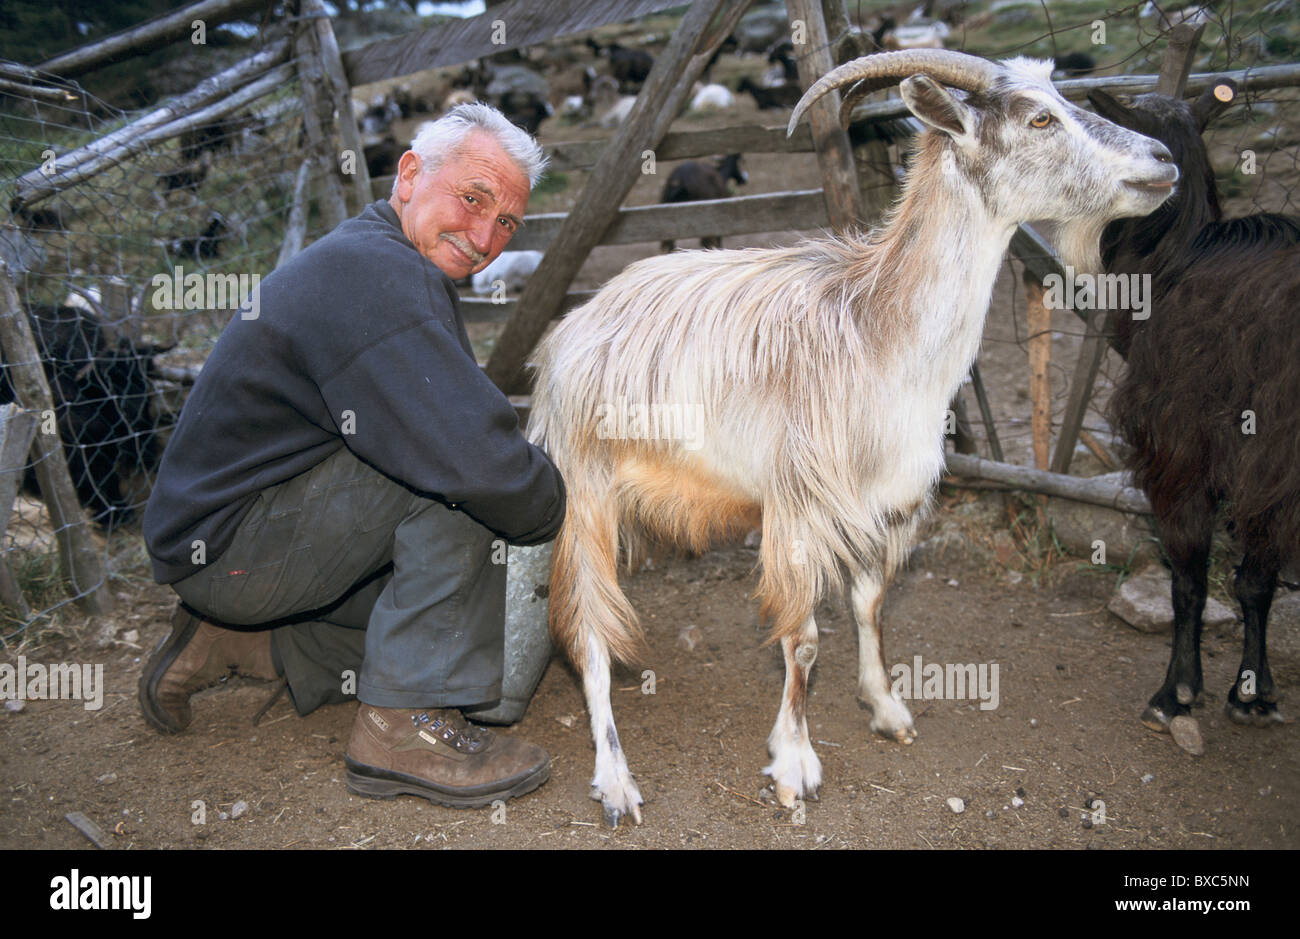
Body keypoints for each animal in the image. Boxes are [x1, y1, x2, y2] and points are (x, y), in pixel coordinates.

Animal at [526, 49, 1177, 827]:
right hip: (582, 488)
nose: (1164, 159)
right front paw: (793, 764)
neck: (875, 333)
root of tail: (568, 332)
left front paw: (887, 706)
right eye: (1040, 118)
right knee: (589, 628)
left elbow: (871, 603)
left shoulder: (881, 498)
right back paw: (617, 781)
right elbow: (804, 642)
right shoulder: (799, 506)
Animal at [1089, 81, 1300, 752]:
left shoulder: (1184, 450)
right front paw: (1253, 693)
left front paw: (1177, 692)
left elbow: (1191, 576)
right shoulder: (1266, 475)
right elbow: (1255, 580)